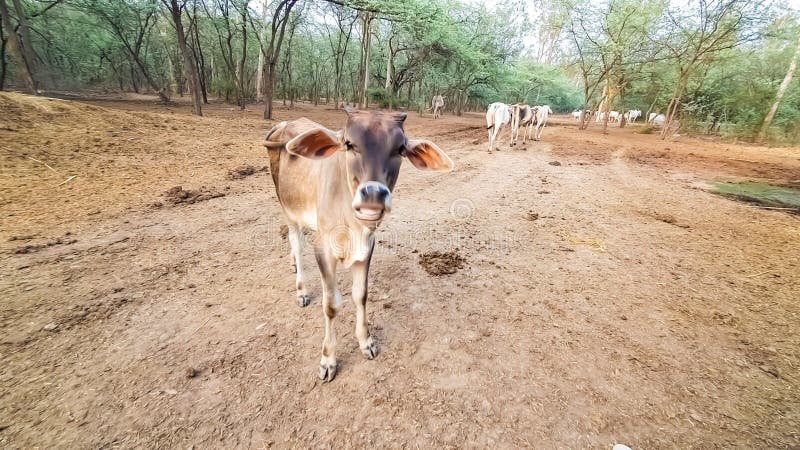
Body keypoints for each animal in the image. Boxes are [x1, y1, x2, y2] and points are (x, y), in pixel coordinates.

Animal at [263, 110, 453, 382]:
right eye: (349, 144)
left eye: (400, 149)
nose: (373, 196)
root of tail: (284, 124)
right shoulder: (323, 248)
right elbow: (331, 305)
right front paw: (328, 359)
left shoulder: (367, 247)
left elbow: (360, 295)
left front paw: (366, 342)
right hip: (287, 207)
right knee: (296, 243)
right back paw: (301, 289)